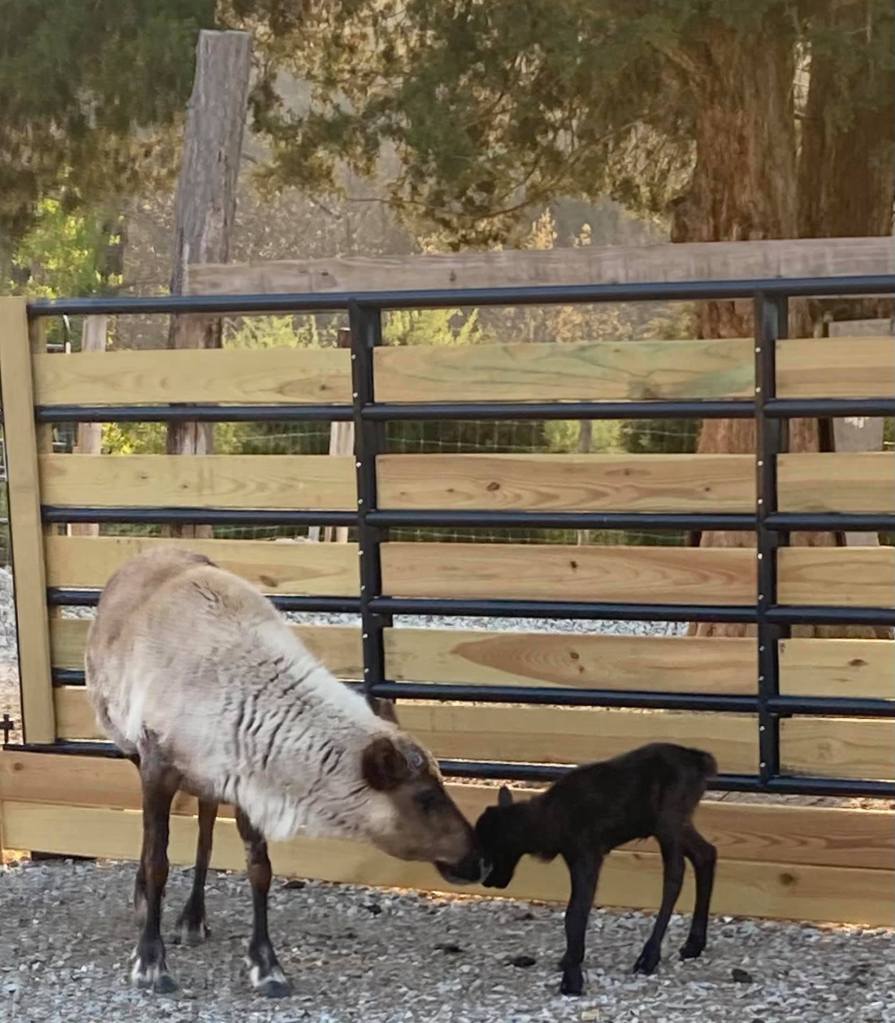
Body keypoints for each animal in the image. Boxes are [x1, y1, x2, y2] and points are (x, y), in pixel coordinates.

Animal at [85, 546, 486, 997]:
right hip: (131, 747)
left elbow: (260, 870)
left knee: (205, 828)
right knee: (155, 837)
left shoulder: (244, 778)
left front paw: (266, 966)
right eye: (425, 797)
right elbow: (159, 860)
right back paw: (146, 905)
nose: (479, 859)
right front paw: (150, 961)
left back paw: (193, 918)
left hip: (204, 780)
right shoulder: (156, 763)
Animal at [474, 743, 718, 996]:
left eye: (491, 845)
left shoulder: (587, 853)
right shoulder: (574, 855)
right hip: (670, 823)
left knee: (675, 873)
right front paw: (570, 959)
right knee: (705, 854)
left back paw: (648, 957)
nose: (487, 881)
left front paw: (571, 980)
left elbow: (574, 913)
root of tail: (702, 761)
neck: (549, 824)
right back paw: (693, 945)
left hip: (668, 819)